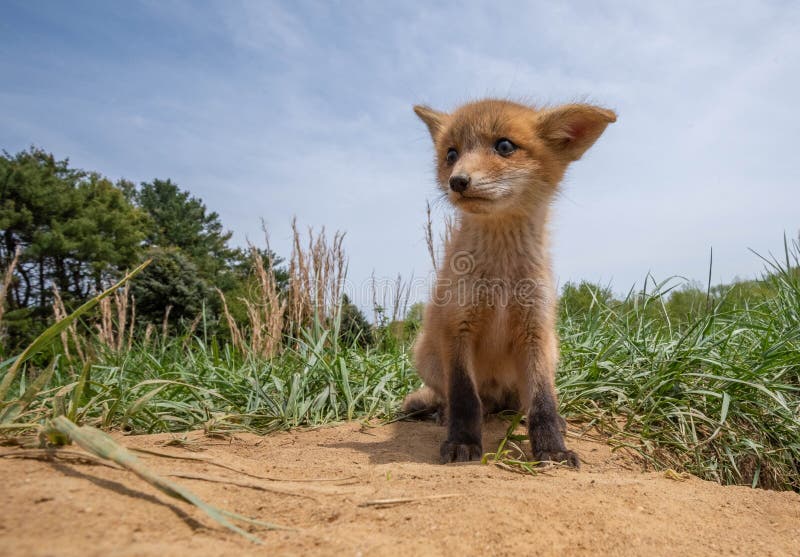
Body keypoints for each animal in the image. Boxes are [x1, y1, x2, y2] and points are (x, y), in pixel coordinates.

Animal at [403, 99, 616, 466]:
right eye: (451, 153)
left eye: (504, 146)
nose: (457, 181)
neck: (502, 279)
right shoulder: (457, 327)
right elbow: (464, 398)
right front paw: (462, 442)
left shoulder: (535, 330)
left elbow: (543, 402)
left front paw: (552, 449)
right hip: (427, 354)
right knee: (461, 399)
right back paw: (445, 413)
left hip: (550, 351)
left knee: (522, 403)